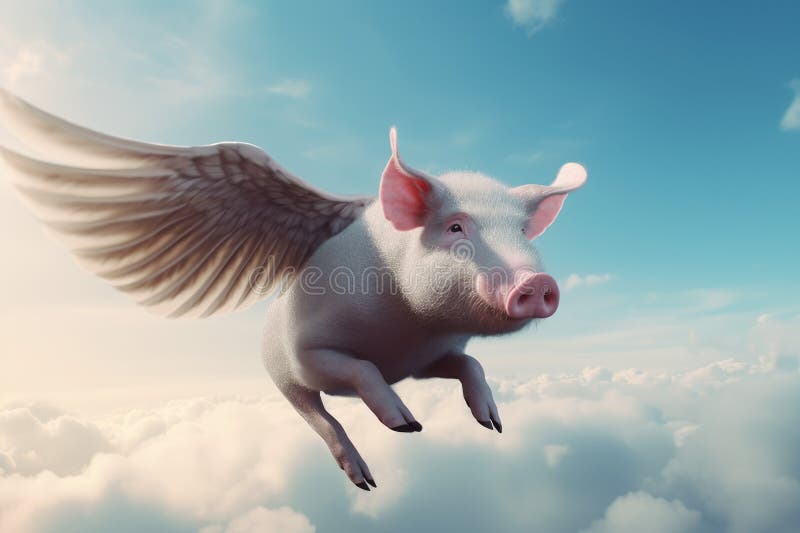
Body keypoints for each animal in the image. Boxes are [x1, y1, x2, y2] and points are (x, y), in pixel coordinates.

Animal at [0, 89, 586, 491]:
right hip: (280, 375)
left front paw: (494, 425)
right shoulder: (312, 353)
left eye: (521, 230)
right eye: (456, 227)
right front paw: (408, 426)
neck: (408, 330)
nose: (537, 282)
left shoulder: (428, 359)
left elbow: (472, 363)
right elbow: (359, 369)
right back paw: (368, 479)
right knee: (319, 417)